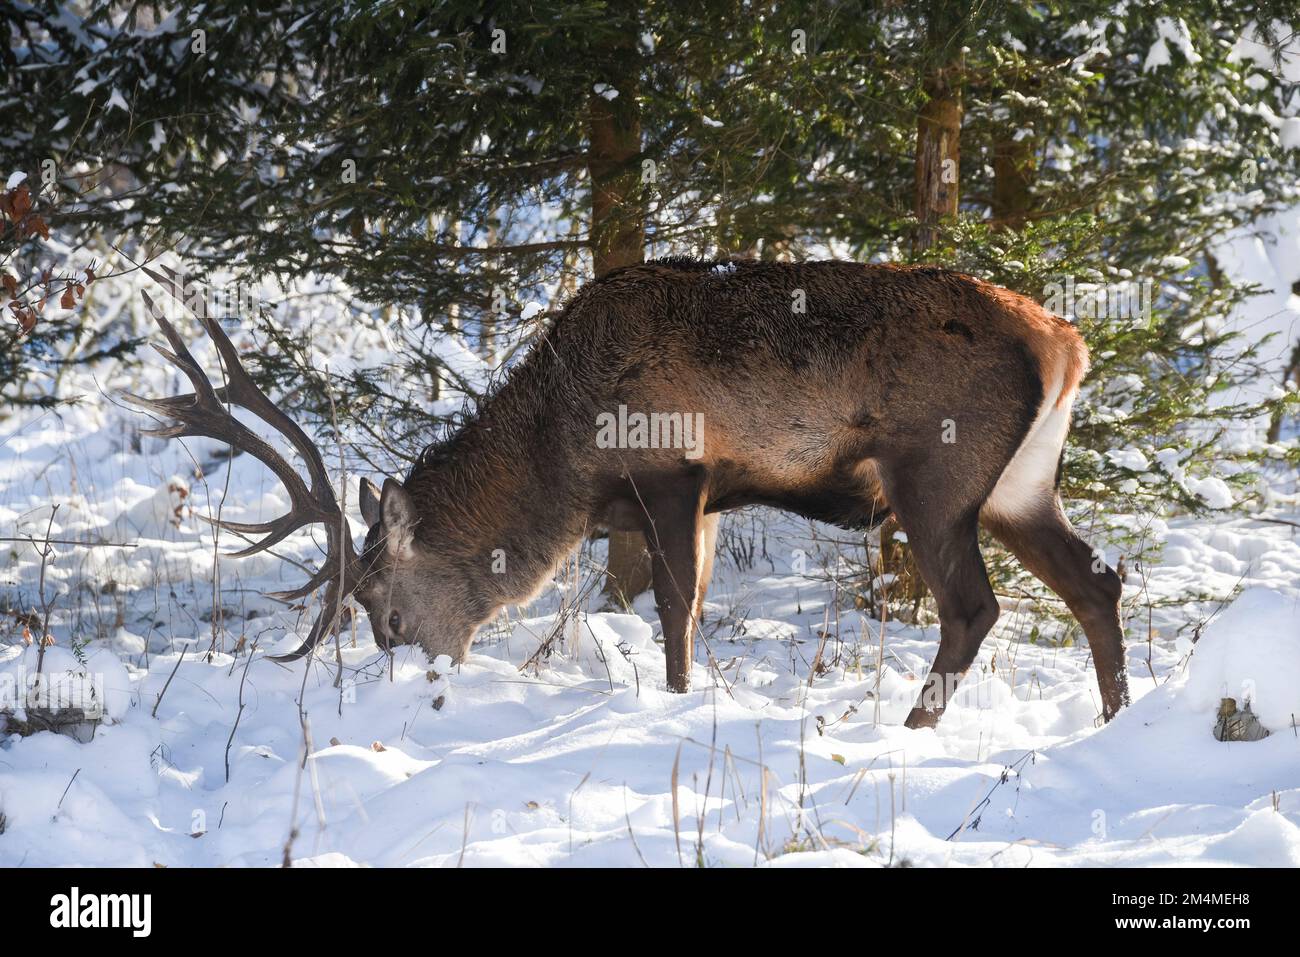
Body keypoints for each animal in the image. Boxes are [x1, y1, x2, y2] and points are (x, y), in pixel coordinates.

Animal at [127, 258, 1131, 729]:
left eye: (388, 611)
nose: (416, 683)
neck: (564, 457)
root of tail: (1068, 342)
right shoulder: (703, 497)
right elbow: (680, 596)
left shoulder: (673, 471)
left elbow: (675, 603)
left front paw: (680, 698)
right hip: (1019, 483)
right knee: (1095, 579)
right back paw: (1117, 717)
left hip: (936, 472)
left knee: (974, 605)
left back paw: (915, 727)